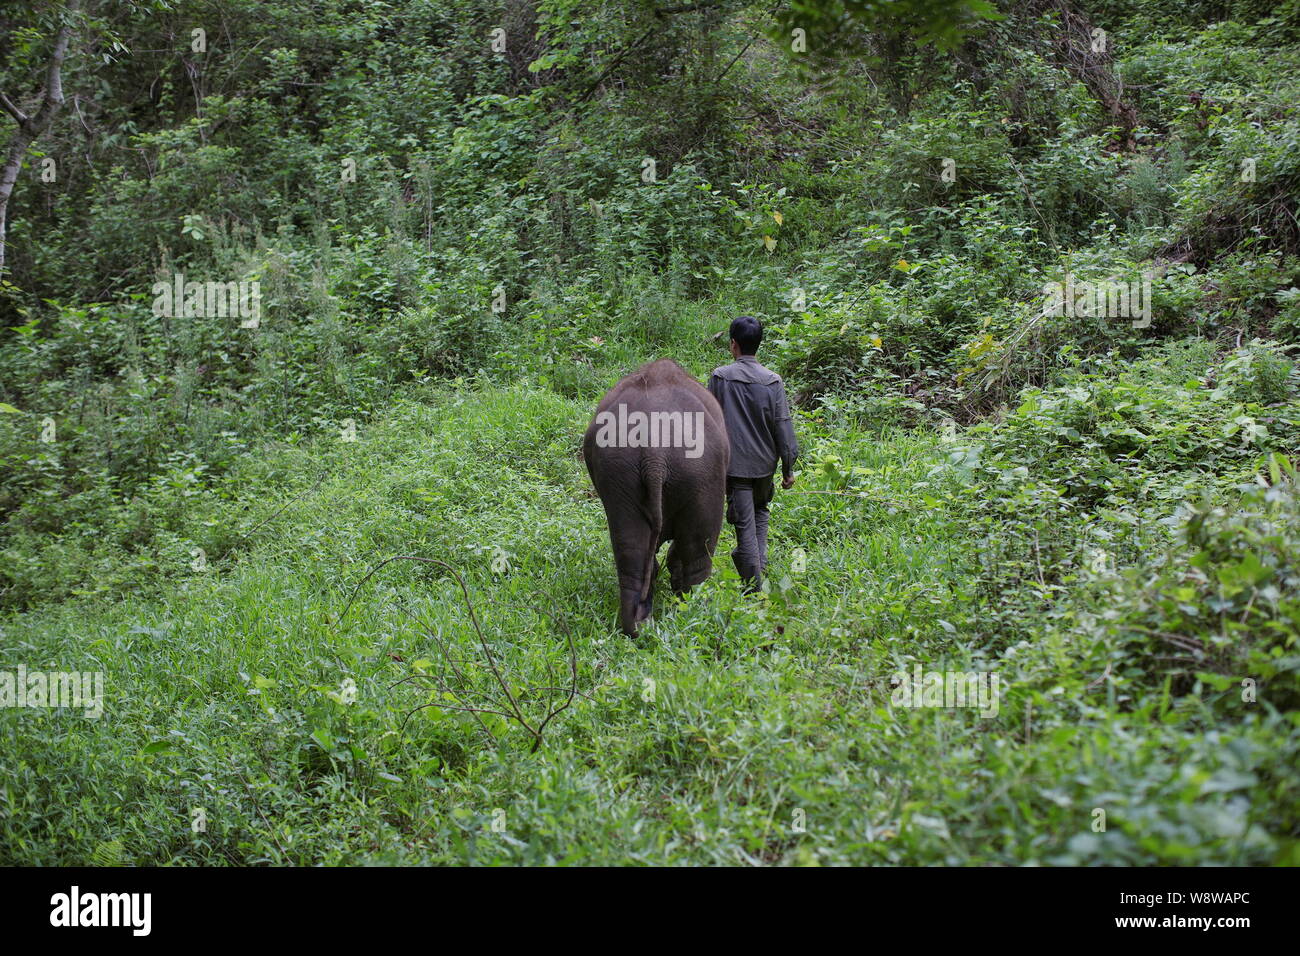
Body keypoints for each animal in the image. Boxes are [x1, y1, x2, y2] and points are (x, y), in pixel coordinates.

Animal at [583, 359, 730, 636]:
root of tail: (654, 452)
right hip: (703, 474)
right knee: (699, 550)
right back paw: (693, 612)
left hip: (620, 472)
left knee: (630, 550)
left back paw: (639, 626)